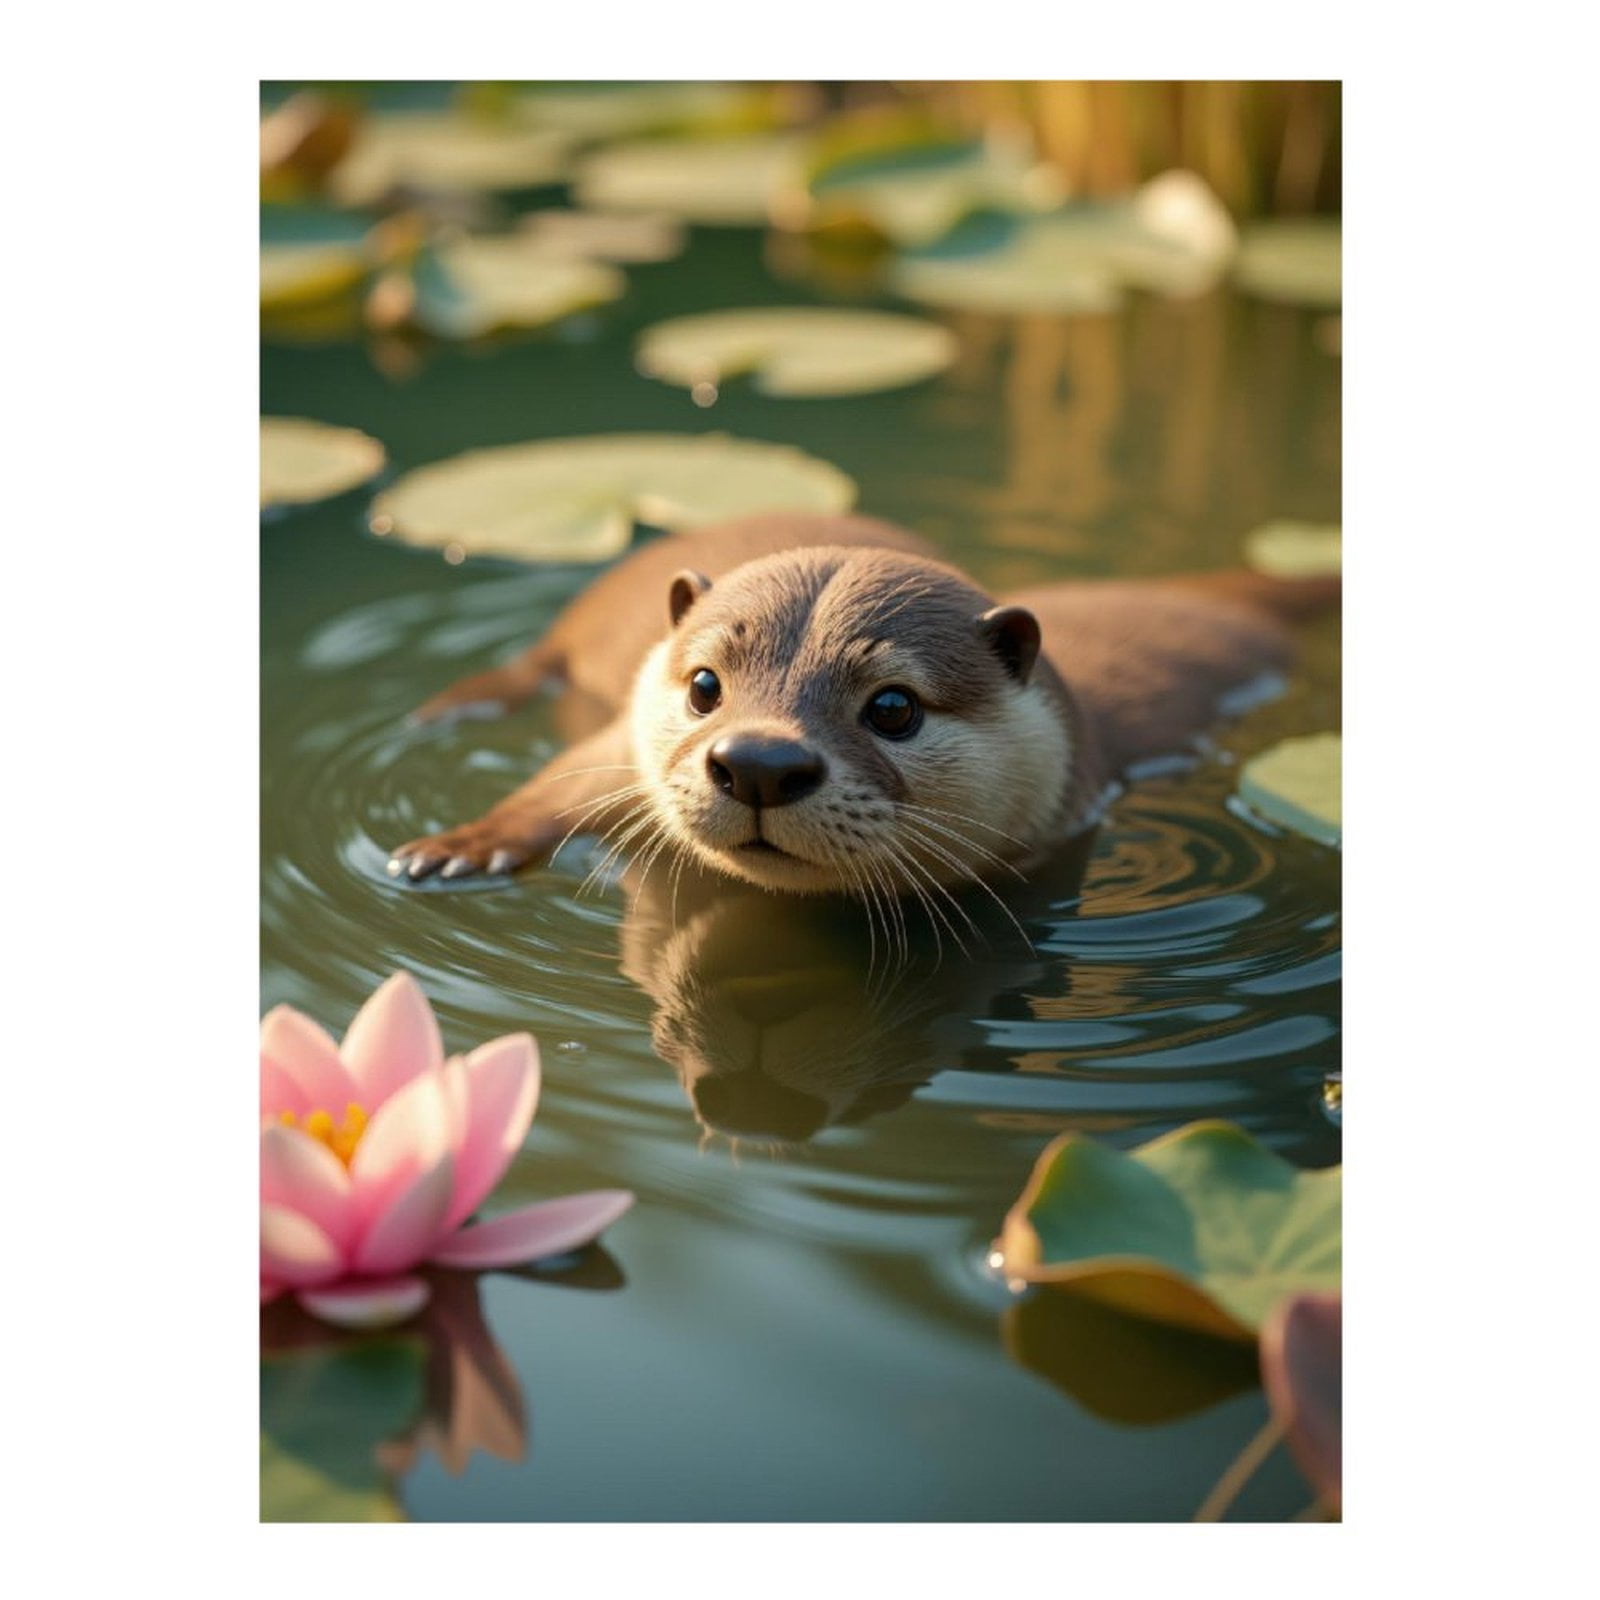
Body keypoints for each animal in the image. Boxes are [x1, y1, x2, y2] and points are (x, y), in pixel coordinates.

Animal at [386, 512, 1337, 895]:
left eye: (893, 709)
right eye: (704, 685)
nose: (758, 764)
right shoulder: (618, 745)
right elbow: (553, 788)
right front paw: (455, 849)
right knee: (535, 658)